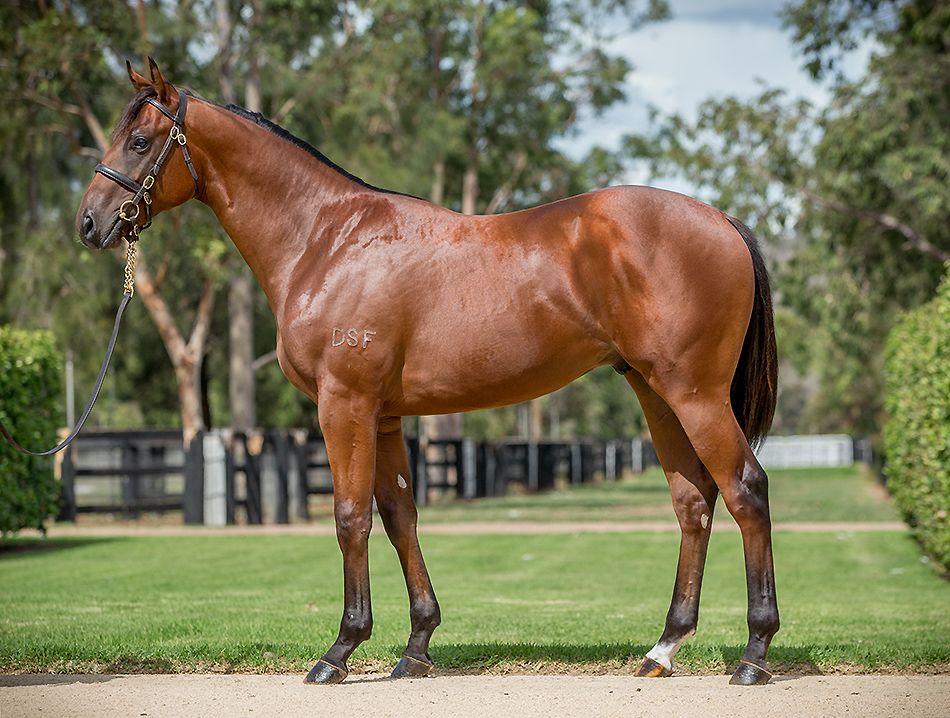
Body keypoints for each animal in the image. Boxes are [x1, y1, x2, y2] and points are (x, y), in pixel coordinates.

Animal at [77, 60, 780, 687]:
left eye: (139, 141)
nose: (89, 223)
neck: (326, 240)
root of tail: (721, 220)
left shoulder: (344, 405)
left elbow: (350, 517)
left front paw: (341, 649)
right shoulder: (384, 416)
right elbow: (399, 517)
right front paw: (416, 644)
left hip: (695, 394)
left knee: (745, 490)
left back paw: (753, 653)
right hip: (654, 392)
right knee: (694, 502)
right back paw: (664, 648)